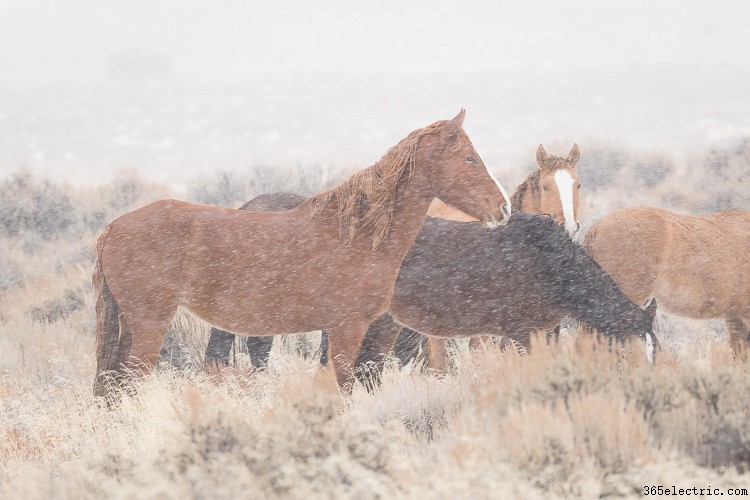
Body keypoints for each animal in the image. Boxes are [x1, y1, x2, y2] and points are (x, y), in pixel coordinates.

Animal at [92, 110, 512, 398]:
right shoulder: (348, 328)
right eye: (470, 159)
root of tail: (114, 226)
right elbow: (344, 384)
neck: (358, 234)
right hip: (150, 325)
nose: (503, 208)